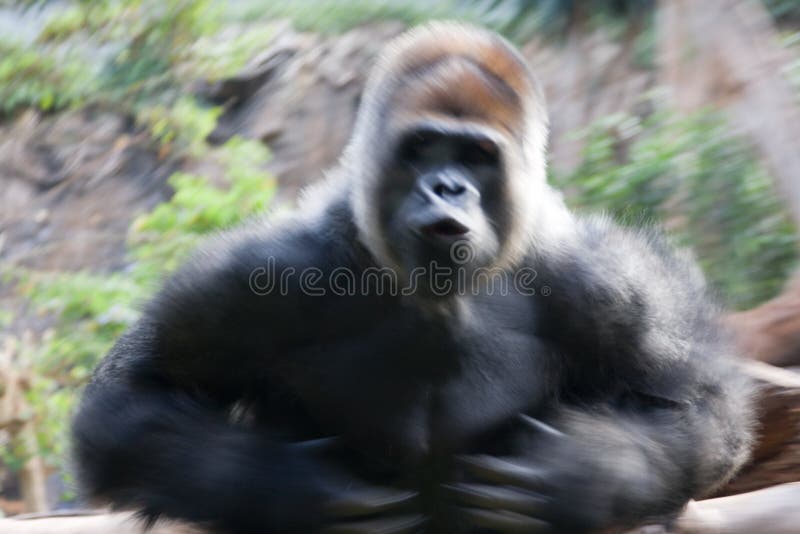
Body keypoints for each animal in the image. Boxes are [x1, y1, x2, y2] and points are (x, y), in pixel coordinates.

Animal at [71, 22, 754, 533]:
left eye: (478, 155)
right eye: (423, 146)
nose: (446, 188)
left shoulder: (603, 285)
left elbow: (698, 409)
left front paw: (582, 473)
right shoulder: (258, 275)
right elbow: (126, 401)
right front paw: (285, 487)